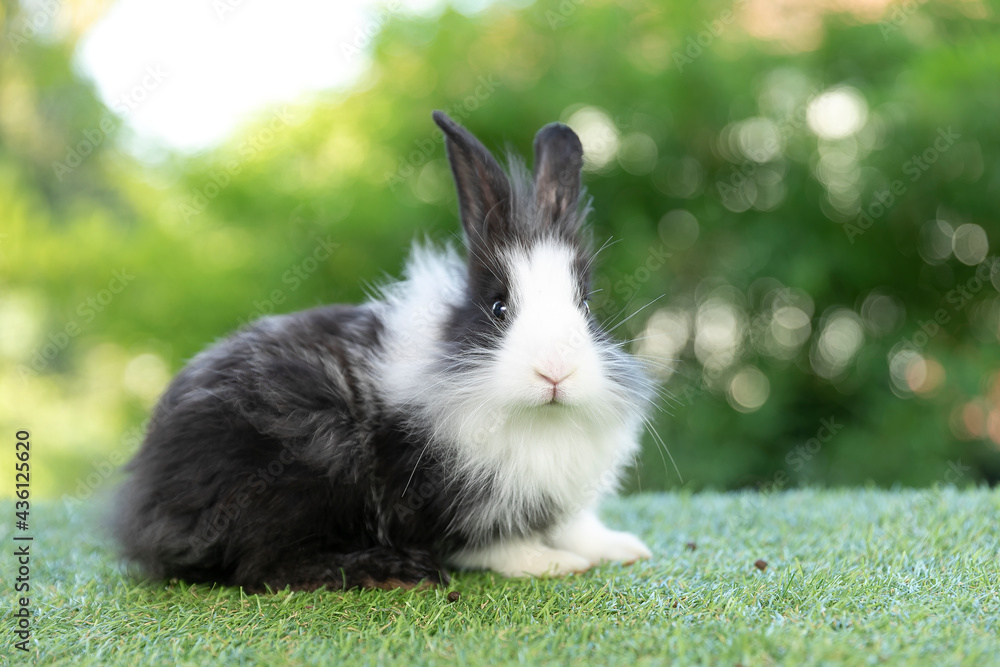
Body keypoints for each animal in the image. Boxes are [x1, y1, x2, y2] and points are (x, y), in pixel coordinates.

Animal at [112, 111, 656, 592]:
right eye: (499, 307)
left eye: (586, 306)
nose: (555, 372)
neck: (538, 421)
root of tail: (143, 504)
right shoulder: (442, 498)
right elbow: (490, 544)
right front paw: (550, 564)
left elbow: (574, 525)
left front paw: (622, 548)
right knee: (261, 568)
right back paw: (388, 571)